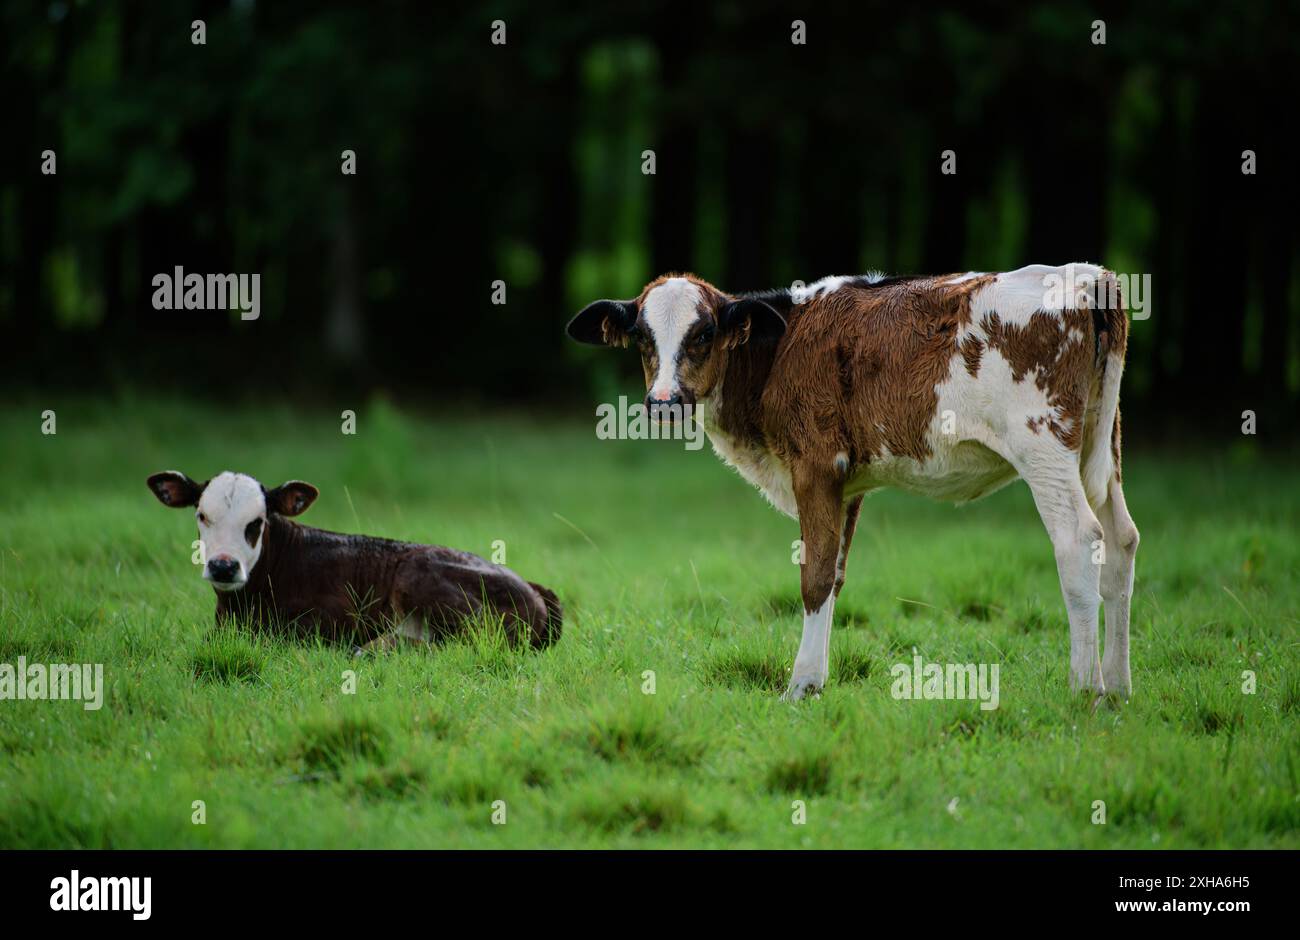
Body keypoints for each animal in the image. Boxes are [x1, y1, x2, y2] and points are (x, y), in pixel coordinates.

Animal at [147, 470, 563, 651]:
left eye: (256, 522)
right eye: (202, 516)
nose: (223, 565)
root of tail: (534, 587)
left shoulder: (330, 621)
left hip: (421, 576)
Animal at [567, 265, 1137, 701]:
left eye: (704, 333)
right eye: (642, 338)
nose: (663, 402)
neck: (782, 346)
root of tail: (1087, 277)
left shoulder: (816, 466)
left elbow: (815, 576)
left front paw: (800, 686)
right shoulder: (850, 482)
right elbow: (837, 575)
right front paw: (818, 679)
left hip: (1043, 446)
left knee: (1079, 540)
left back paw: (1084, 689)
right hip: (1101, 445)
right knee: (1121, 542)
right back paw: (1117, 687)